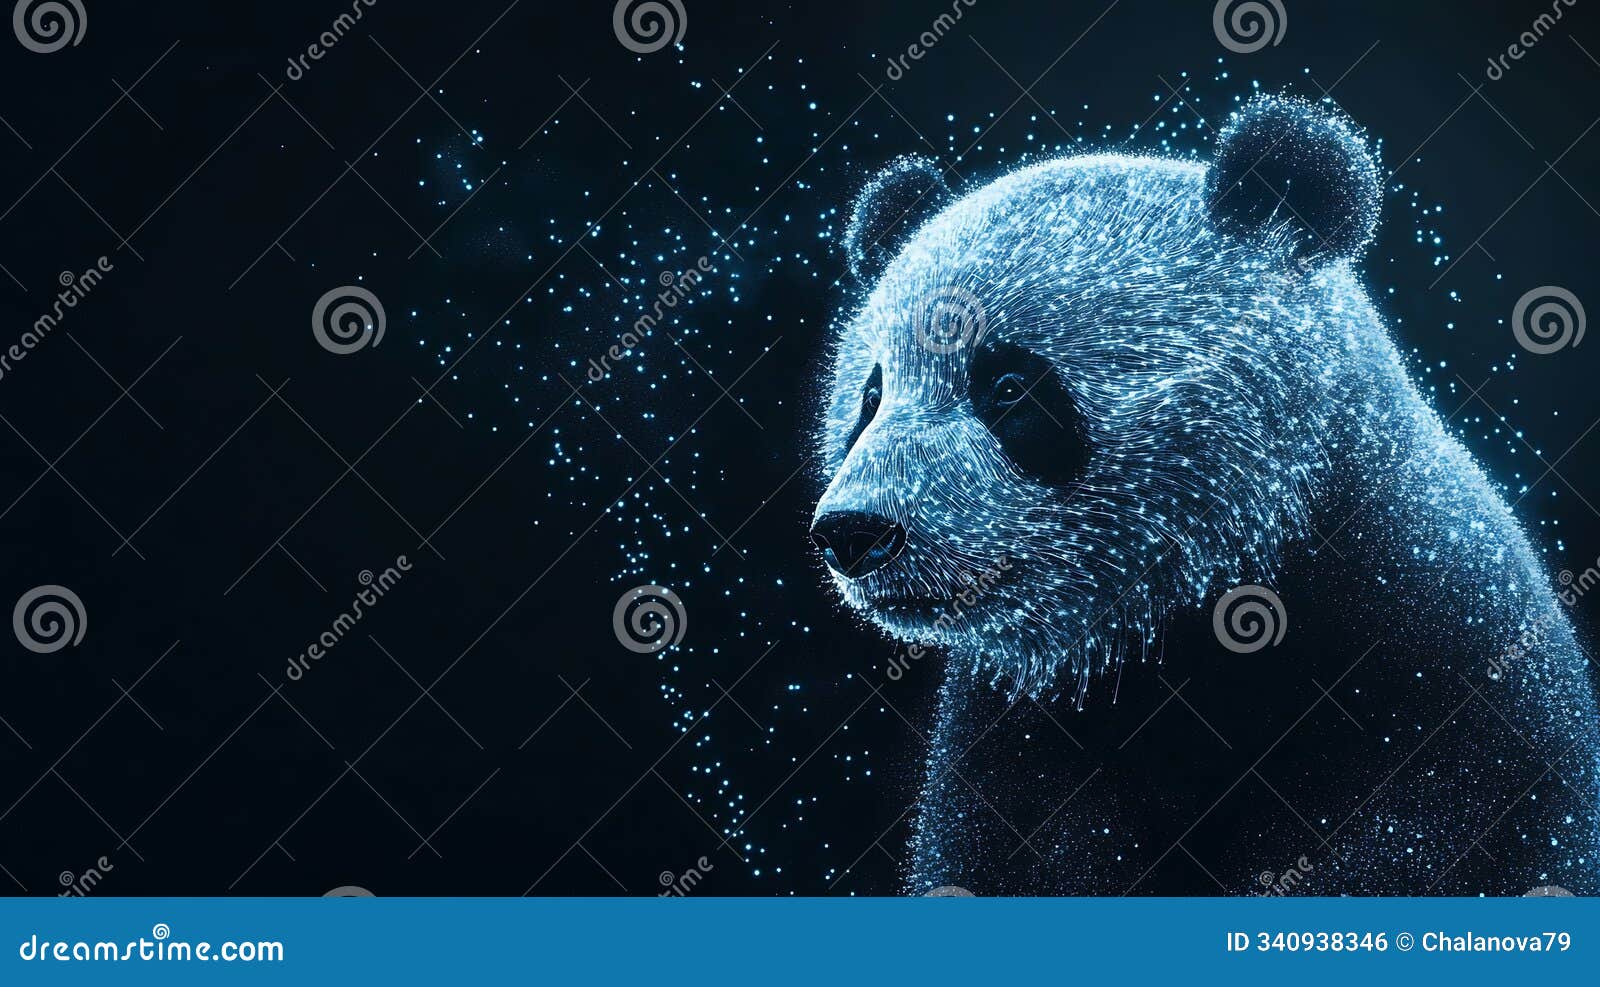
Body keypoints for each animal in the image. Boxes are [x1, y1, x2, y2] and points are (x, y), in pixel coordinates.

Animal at [811, 95, 1599, 896]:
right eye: (870, 398)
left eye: (1009, 388)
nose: (855, 531)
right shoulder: (1021, 729)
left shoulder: (1432, 657)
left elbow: (1425, 836)